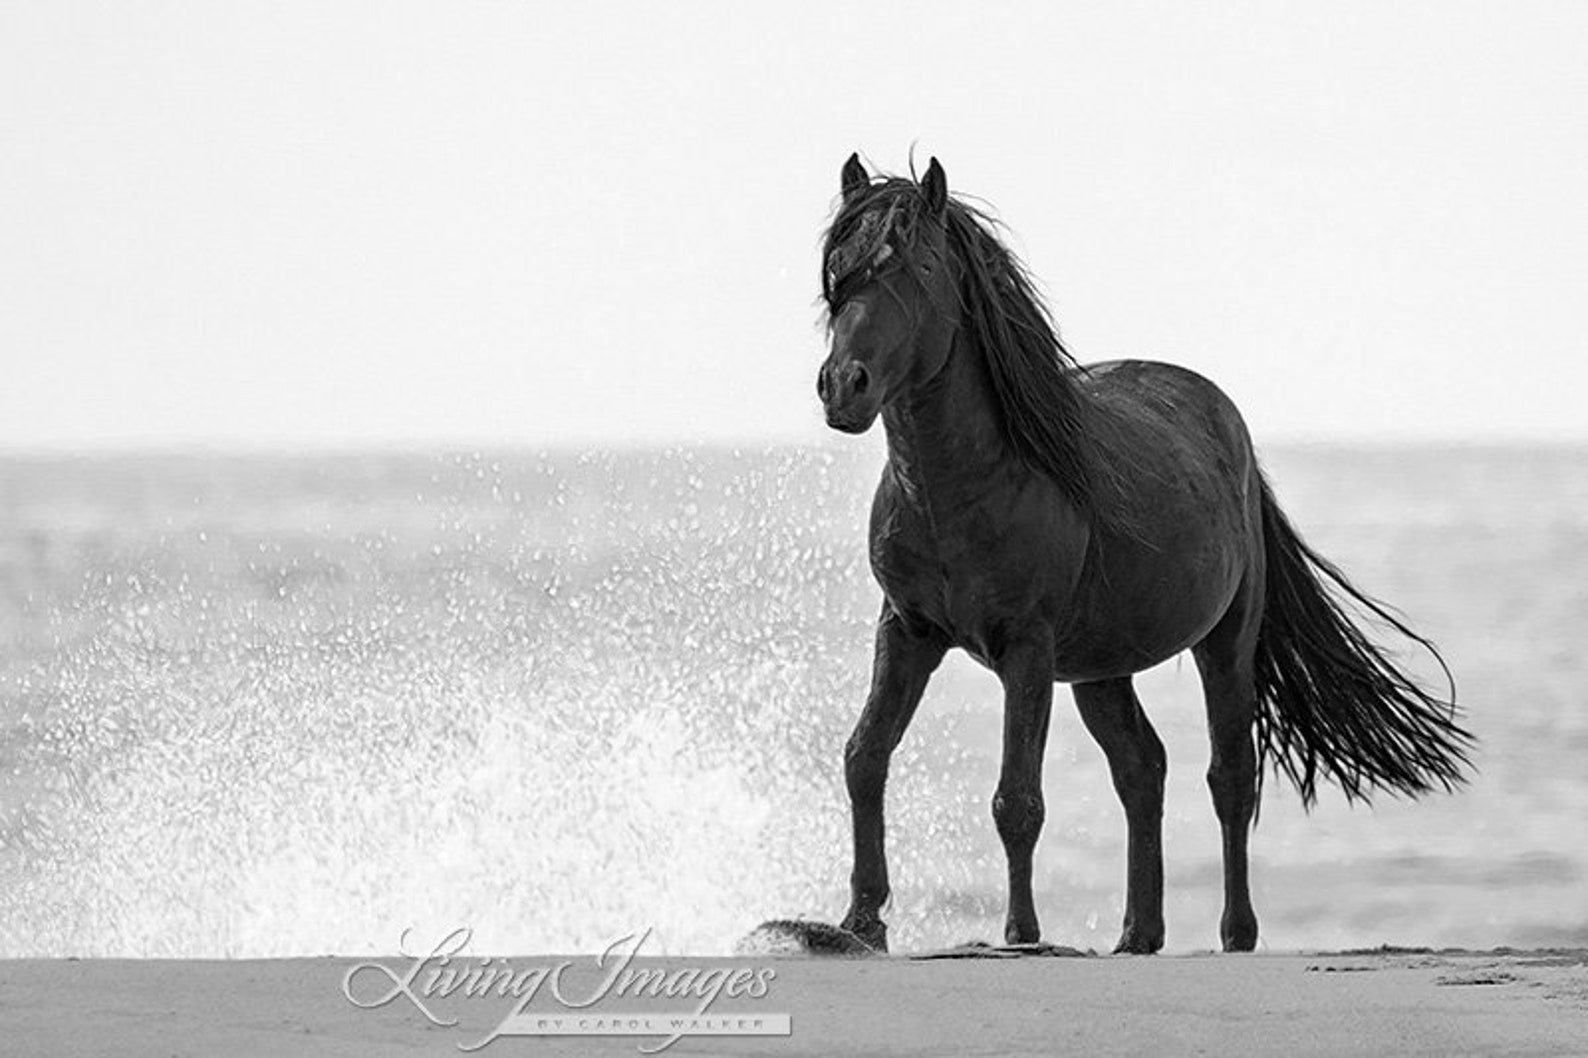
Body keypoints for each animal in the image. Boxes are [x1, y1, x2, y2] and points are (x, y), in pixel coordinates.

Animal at [811, 153, 1473, 955]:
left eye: (924, 266)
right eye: (838, 269)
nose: (844, 386)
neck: (966, 486)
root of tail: (1226, 421)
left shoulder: (1026, 648)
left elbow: (1016, 799)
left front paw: (1021, 933)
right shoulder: (907, 632)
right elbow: (865, 757)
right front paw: (860, 922)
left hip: (1225, 643)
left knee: (1229, 777)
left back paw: (1234, 932)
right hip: (1102, 669)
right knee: (1142, 767)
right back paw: (1138, 932)